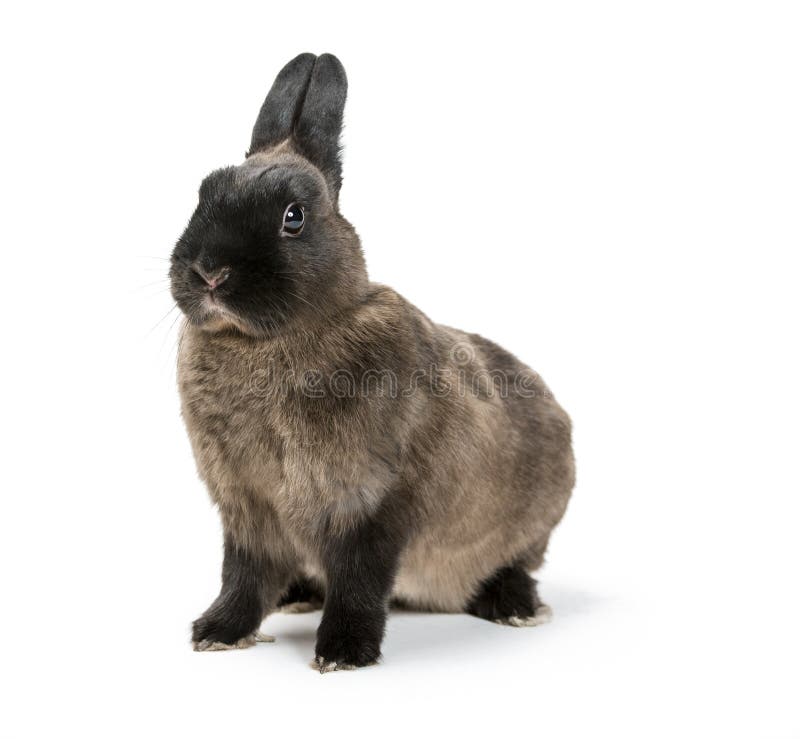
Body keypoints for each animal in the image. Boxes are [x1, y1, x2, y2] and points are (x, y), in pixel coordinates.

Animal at [170, 52, 575, 672]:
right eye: (202, 195)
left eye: (294, 217)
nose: (210, 272)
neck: (270, 341)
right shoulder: (249, 508)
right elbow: (243, 575)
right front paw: (219, 631)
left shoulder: (374, 502)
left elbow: (359, 579)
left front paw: (343, 652)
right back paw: (296, 596)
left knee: (518, 563)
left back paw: (515, 605)